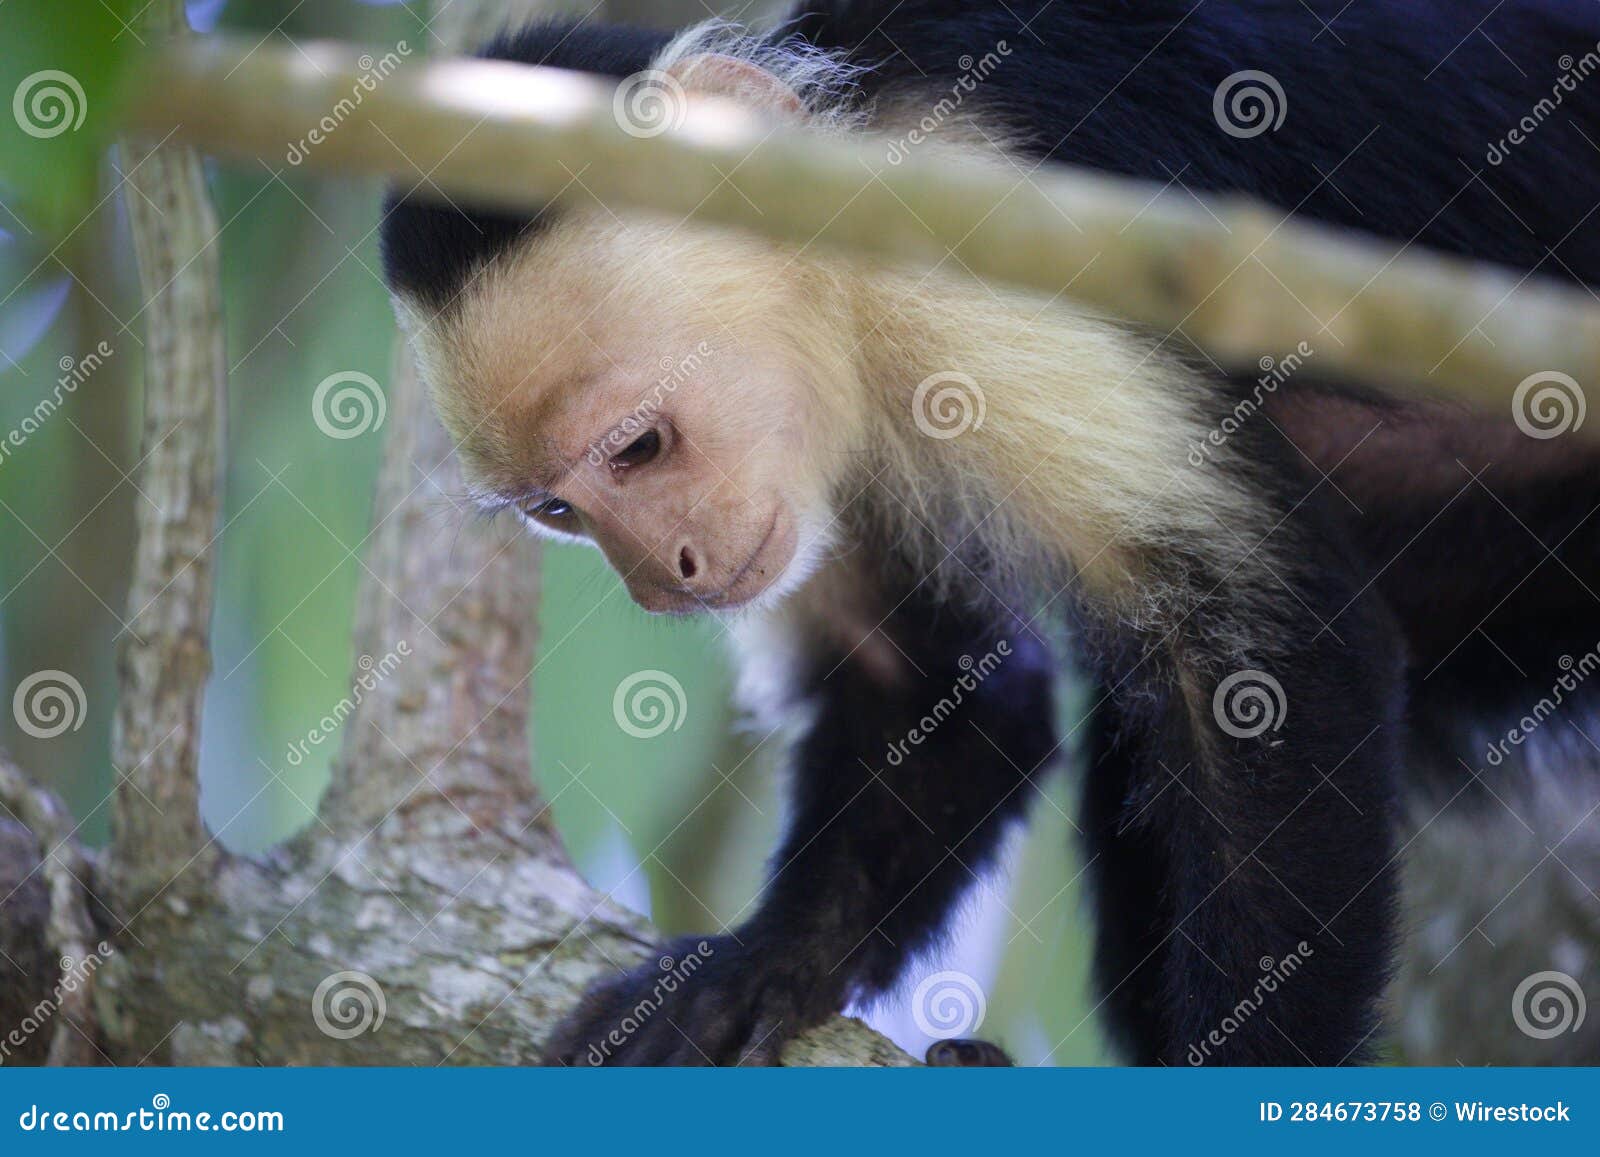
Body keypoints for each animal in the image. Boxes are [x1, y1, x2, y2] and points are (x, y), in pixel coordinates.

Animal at [379, 1, 1600, 1065]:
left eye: (638, 447)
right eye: (557, 512)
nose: (663, 581)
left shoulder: (972, 246)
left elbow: (1269, 642)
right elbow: (933, 686)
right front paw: (756, 964)